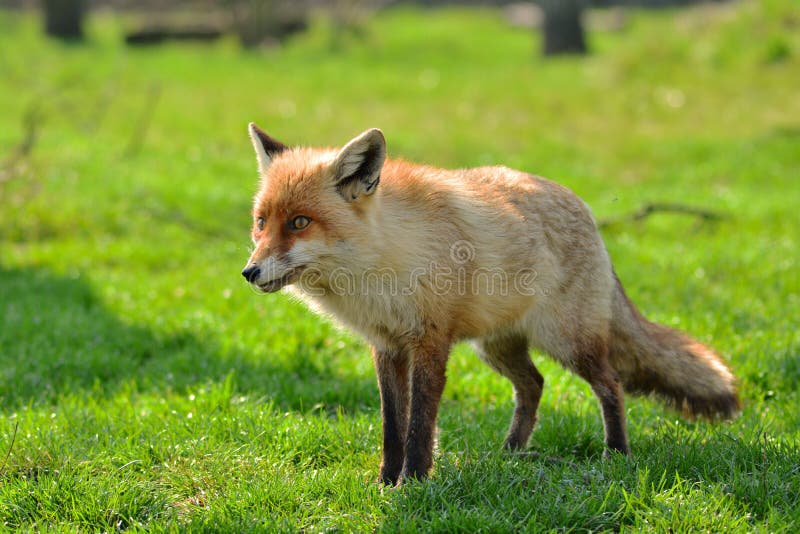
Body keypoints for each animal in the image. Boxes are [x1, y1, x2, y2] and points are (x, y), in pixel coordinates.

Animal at [241, 124, 740, 485]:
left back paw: (615, 452)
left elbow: (419, 425)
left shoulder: (430, 342)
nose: (249, 272)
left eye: (299, 222)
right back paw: (511, 453)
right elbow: (391, 426)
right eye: (261, 222)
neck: (384, 260)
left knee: (611, 385)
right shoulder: (387, 347)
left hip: (568, 342)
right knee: (535, 385)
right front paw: (385, 482)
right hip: (497, 347)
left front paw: (413, 482)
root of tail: (586, 210)